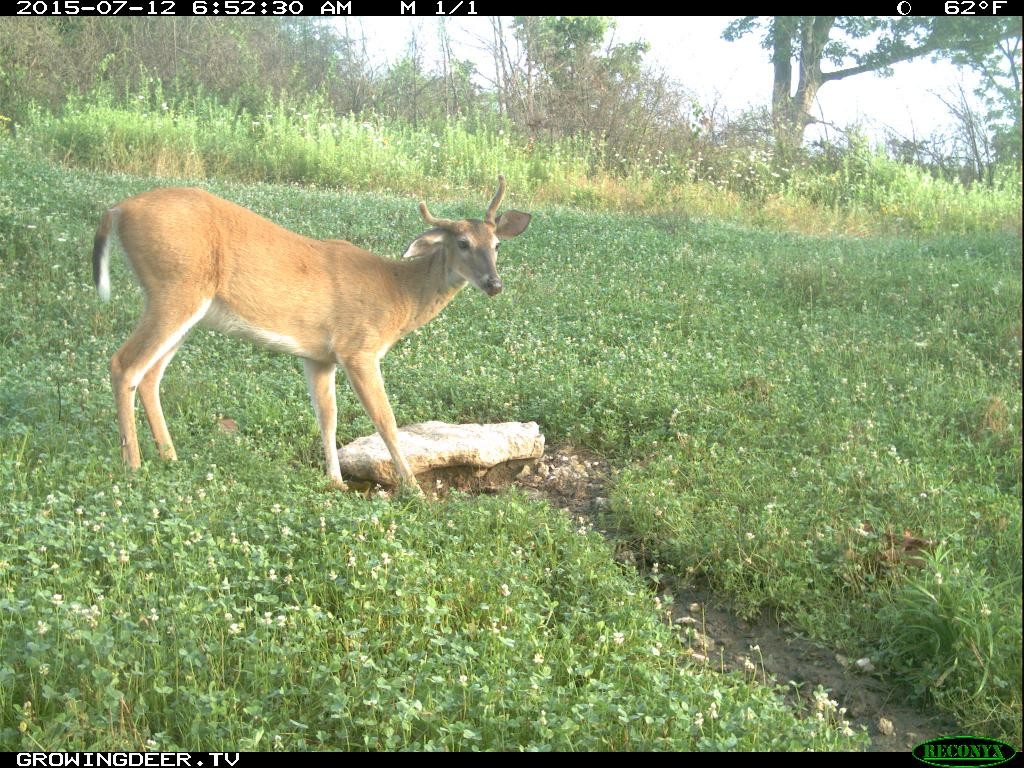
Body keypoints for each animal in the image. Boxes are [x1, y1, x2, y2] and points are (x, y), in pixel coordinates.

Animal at [92, 176, 531, 494]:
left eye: (496, 244)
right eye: (463, 243)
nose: (494, 284)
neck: (396, 291)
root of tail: (117, 209)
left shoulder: (319, 355)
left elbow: (328, 418)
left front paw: (335, 482)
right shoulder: (358, 347)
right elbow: (385, 419)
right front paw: (413, 489)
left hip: (186, 308)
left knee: (150, 374)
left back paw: (170, 457)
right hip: (175, 288)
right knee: (123, 364)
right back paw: (134, 466)